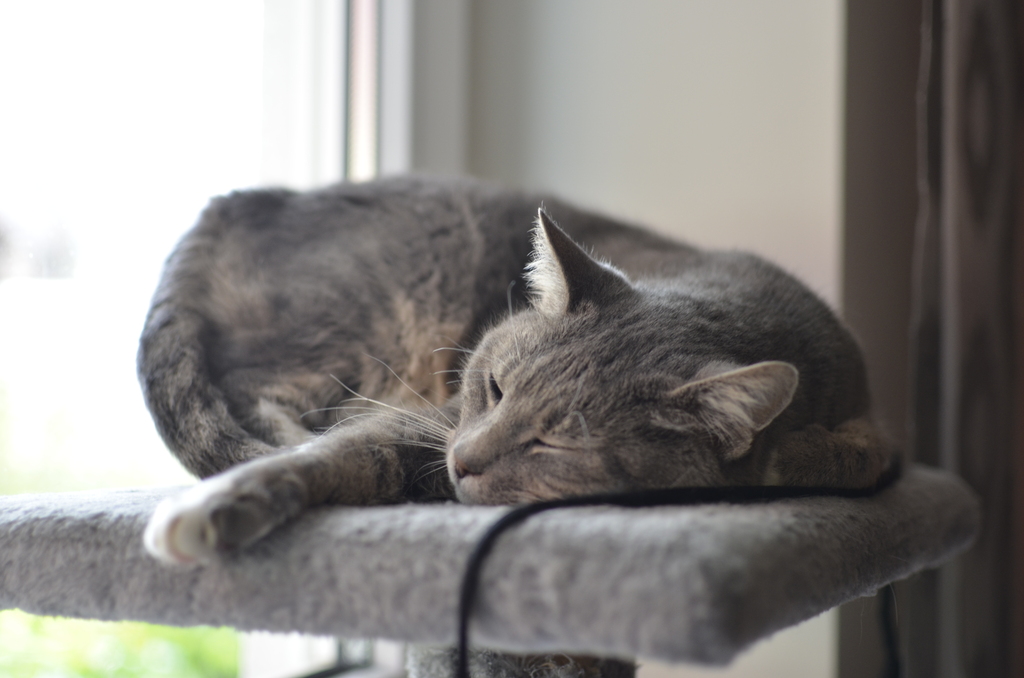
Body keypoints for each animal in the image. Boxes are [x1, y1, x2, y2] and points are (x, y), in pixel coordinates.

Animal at [138, 176, 897, 569]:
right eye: (496, 386)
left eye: (554, 443)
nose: (462, 463)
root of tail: (238, 201)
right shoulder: (438, 418)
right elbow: (343, 450)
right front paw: (218, 506)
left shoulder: (871, 430)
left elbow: (842, 457)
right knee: (256, 396)